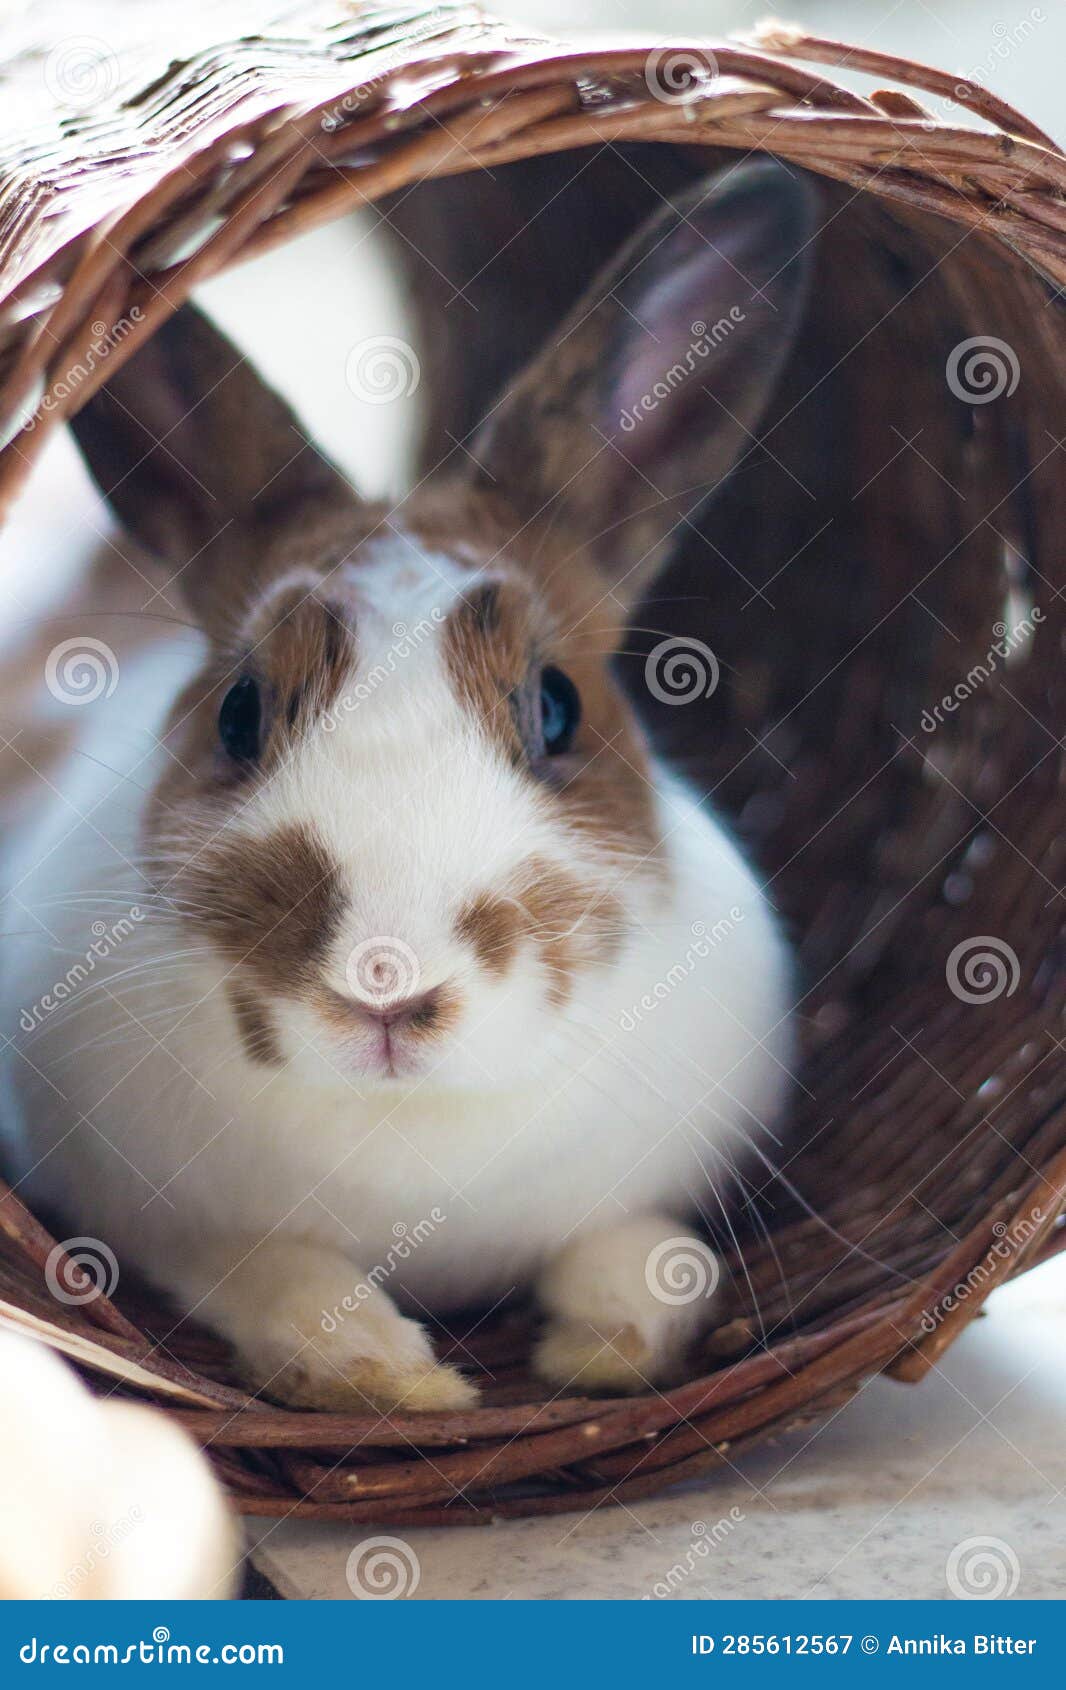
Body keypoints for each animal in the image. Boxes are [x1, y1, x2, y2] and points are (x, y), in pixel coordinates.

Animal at [0, 160, 814, 1413]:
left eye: (554, 707)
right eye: (239, 713)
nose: (383, 981)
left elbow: (649, 1253)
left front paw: (600, 1348)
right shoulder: (150, 1222)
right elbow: (267, 1267)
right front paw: (388, 1378)